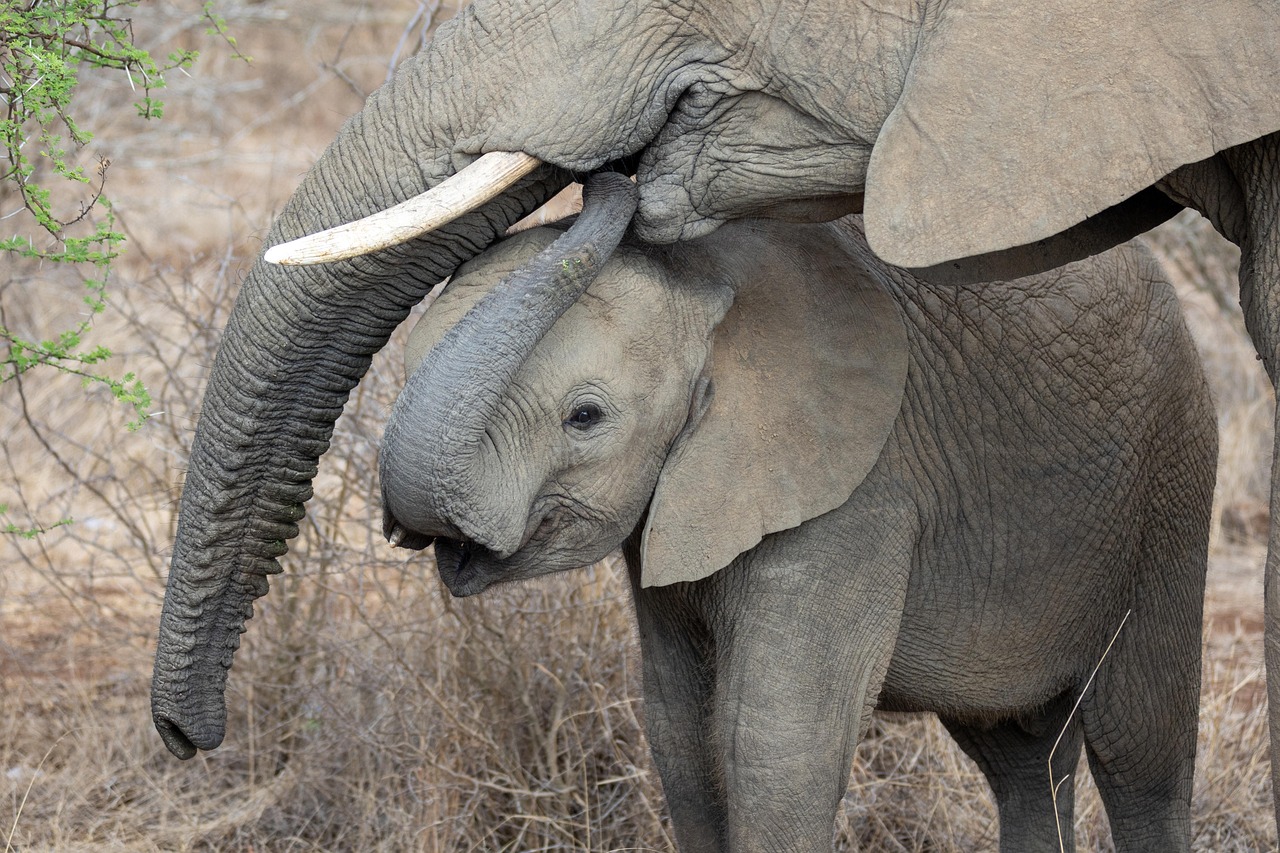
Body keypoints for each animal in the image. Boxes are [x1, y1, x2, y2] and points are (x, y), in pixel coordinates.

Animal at [374, 175, 1216, 851]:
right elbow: (681, 736)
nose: (610, 179)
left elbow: (775, 748)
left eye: (584, 417)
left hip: (1168, 485)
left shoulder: (860, 492)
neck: (706, 285)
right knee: (1022, 754)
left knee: (1140, 749)